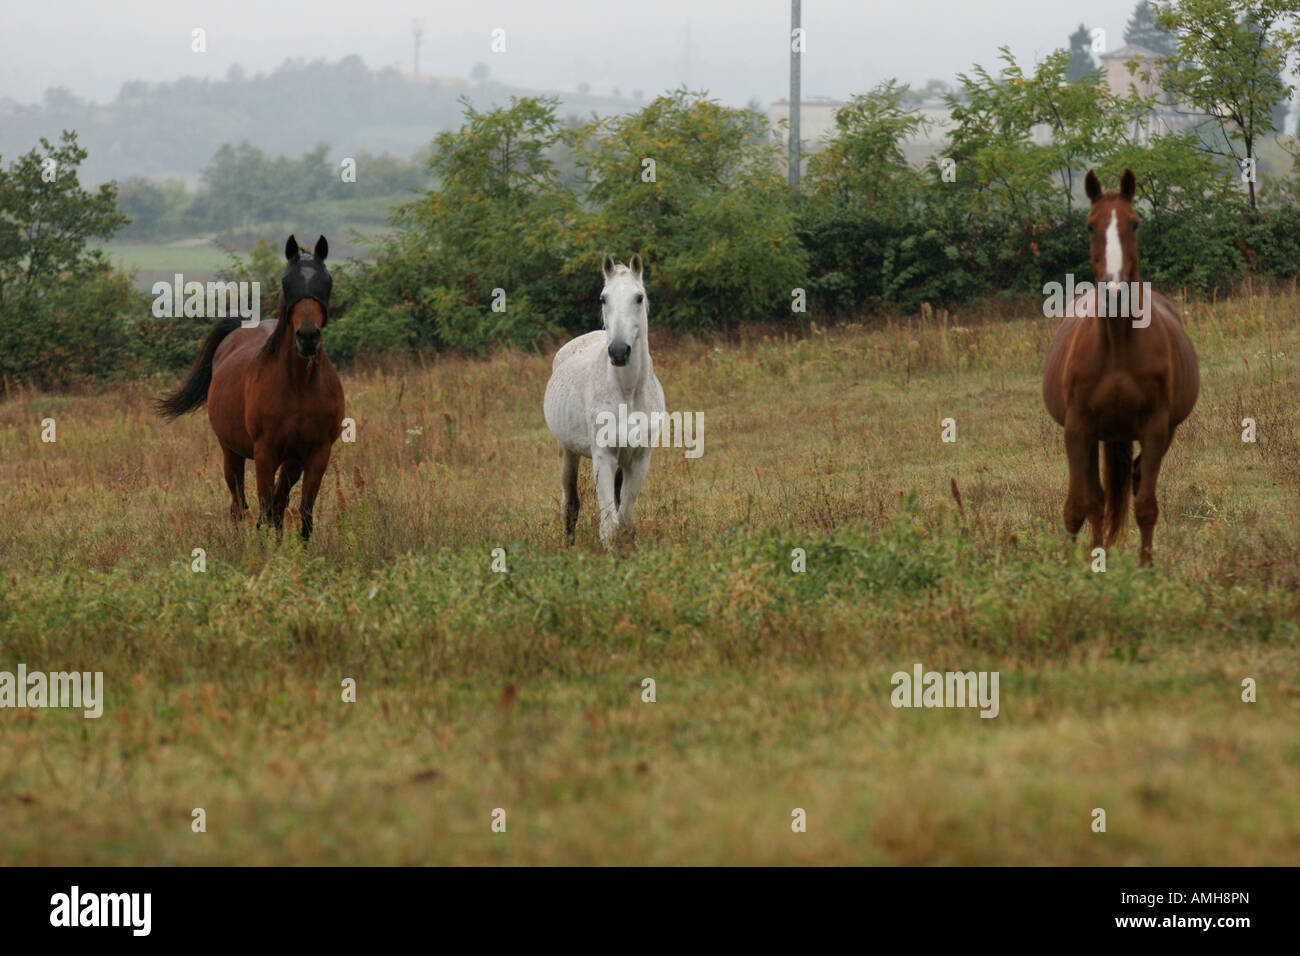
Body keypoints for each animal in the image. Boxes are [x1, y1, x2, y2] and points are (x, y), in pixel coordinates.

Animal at [155, 235, 345, 542]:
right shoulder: (264, 453)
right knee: (239, 504)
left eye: (326, 281)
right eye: (286, 282)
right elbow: (265, 508)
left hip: (290, 461)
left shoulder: (316, 453)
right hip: (231, 452)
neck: (300, 387)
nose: (307, 337)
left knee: (276, 502)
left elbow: (301, 513)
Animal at [544, 254, 666, 551]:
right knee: (570, 505)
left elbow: (626, 521)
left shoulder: (639, 459)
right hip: (568, 452)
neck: (628, 392)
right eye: (603, 298)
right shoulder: (604, 457)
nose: (619, 351)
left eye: (638, 297)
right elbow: (609, 525)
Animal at [1042, 169, 1199, 567]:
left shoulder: (1156, 429)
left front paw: (1145, 569)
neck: (1115, 346)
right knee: (1091, 500)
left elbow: (1144, 505)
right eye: (1090, 225)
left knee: (1134, 479)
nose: (1115, 292)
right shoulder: (1077, 430)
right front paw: (1076, 566)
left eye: (1135, 223)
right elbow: (1082, 505)